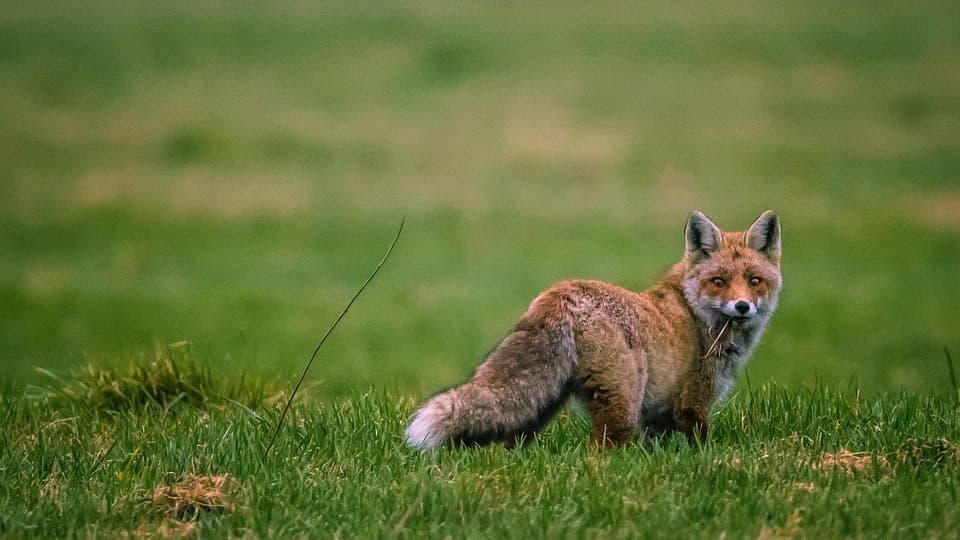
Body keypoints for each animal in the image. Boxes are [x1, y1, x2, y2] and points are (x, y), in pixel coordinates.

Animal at [405, 210, 782, 449]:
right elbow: (700, 448)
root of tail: (561, 293)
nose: (742, 306)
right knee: (598, 455)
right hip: (622, 407)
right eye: (718, 281)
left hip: (540, 406)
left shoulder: (658, 419)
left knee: (508, 441)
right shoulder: (692, 403)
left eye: (754, 281)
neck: (695, 312)